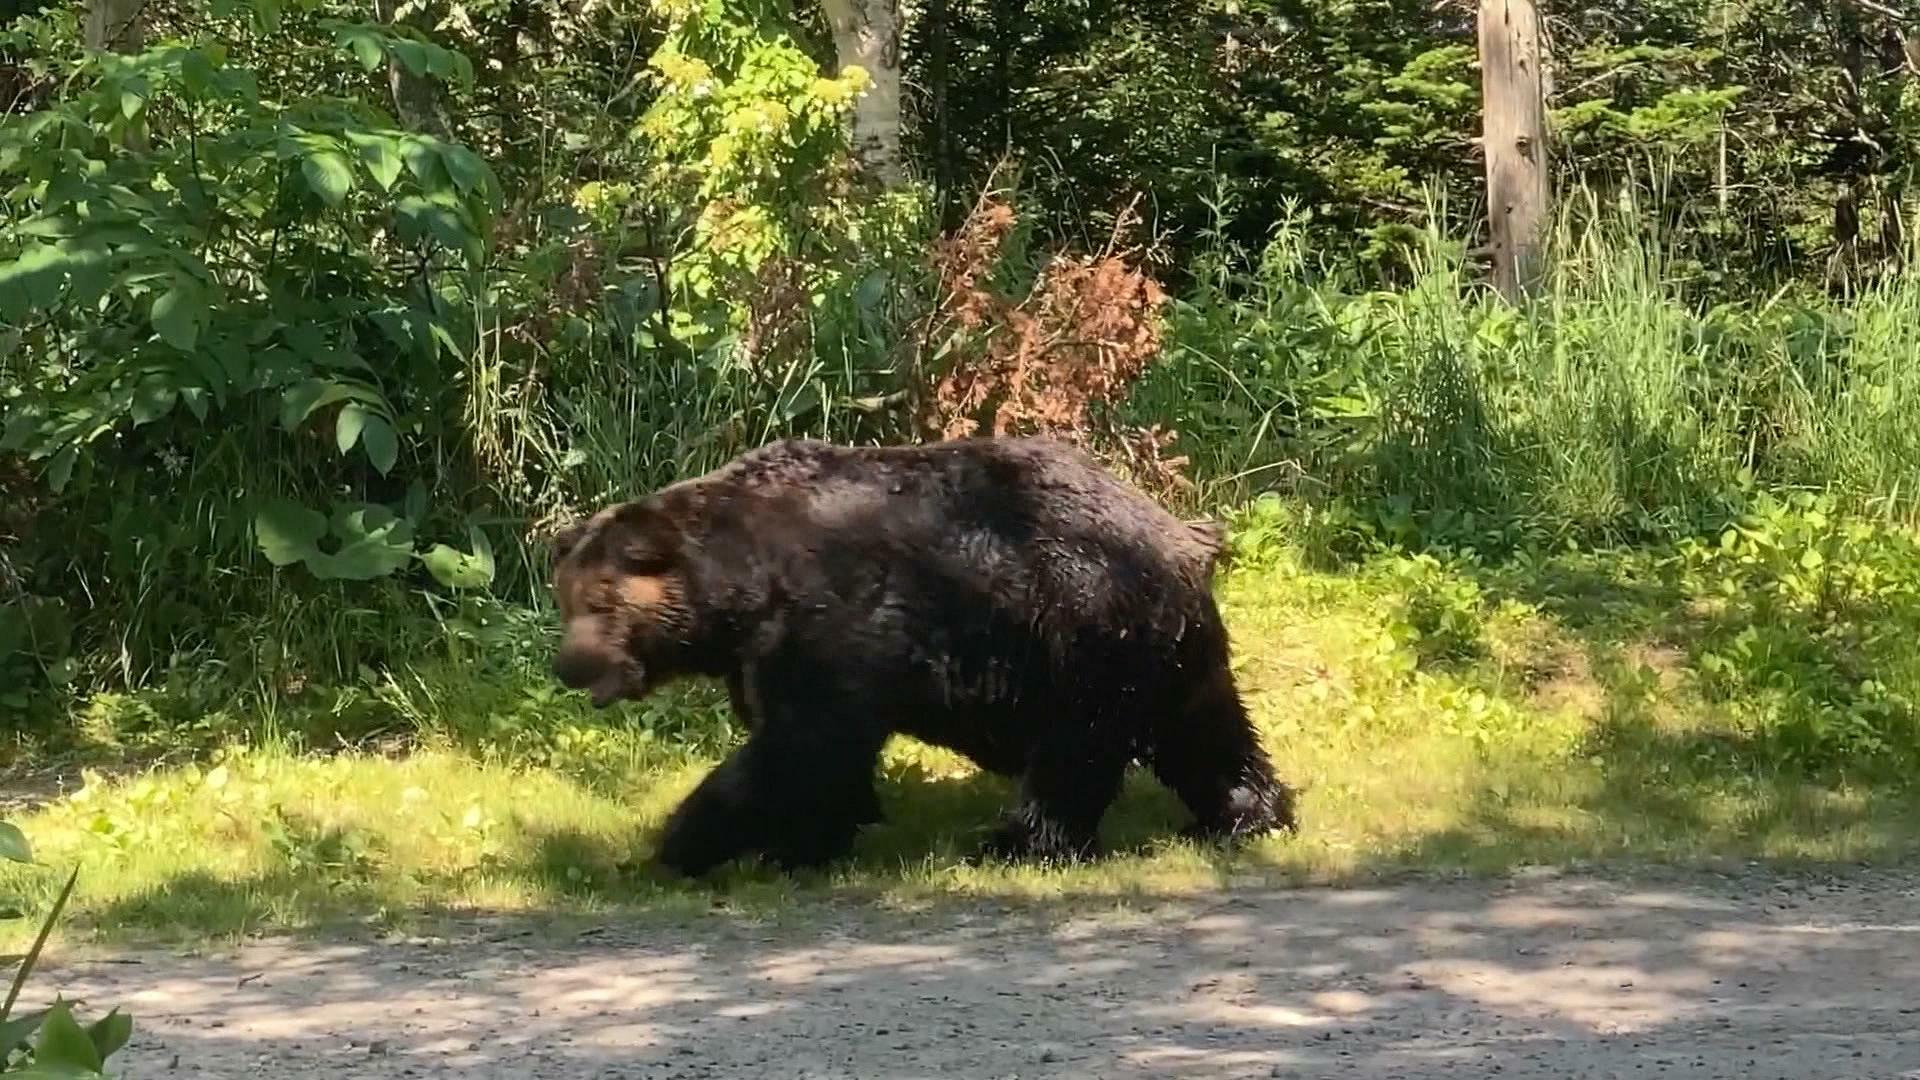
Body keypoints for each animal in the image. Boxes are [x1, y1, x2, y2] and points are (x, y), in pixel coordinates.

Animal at [547, 435, 1295, 877]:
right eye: (566, 600)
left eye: (600, 605)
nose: (569, 664)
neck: (741, 586)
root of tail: (1183, 535)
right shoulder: (771, 652)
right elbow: (810, 751)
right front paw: (811, 839)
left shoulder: (830, 621)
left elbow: (797, 747)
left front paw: (690, 840)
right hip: (1165, 652)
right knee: (1207, 734)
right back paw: (1243, 815)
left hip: (1079, 630)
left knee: (1073, 755)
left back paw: (1018, 842)